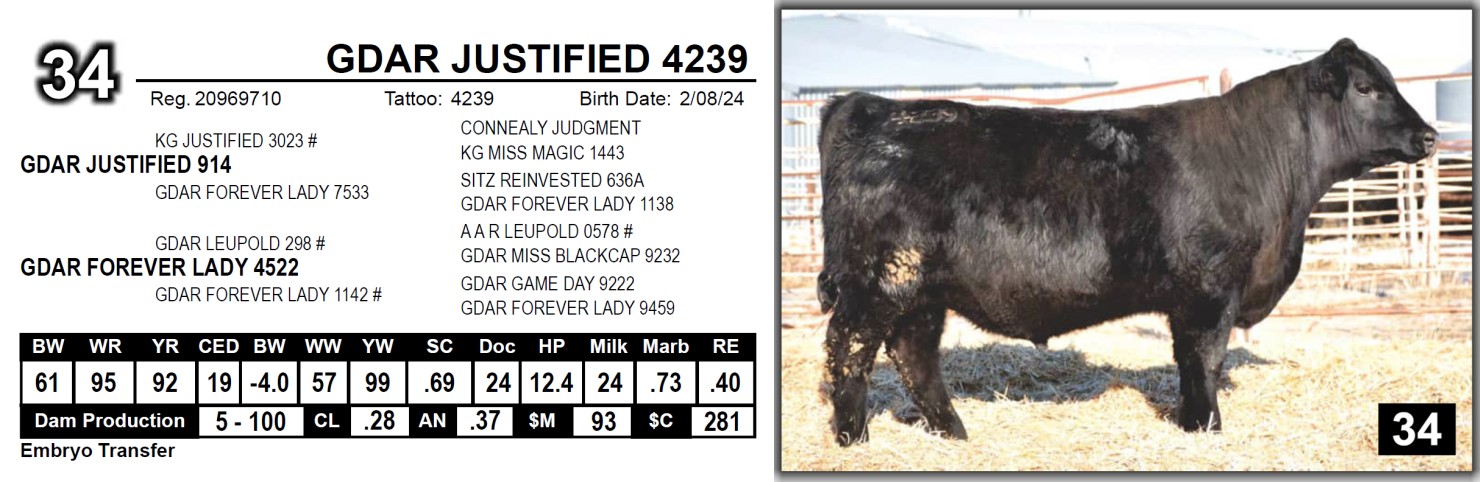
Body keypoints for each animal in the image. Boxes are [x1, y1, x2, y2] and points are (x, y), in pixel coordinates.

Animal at [815, 38, 1436, 446]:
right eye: (1367, 88)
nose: (1429, 136)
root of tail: (870, 107)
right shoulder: (1210, 289)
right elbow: (1206, 359)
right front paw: (1208, 429)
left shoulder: (1192, 298)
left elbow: (1188, 361)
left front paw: (1191, 423)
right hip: (879, 281)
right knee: (850, 347)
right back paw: (854, 437)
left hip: (921, 288)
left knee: (913, 353)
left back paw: (953, 433)